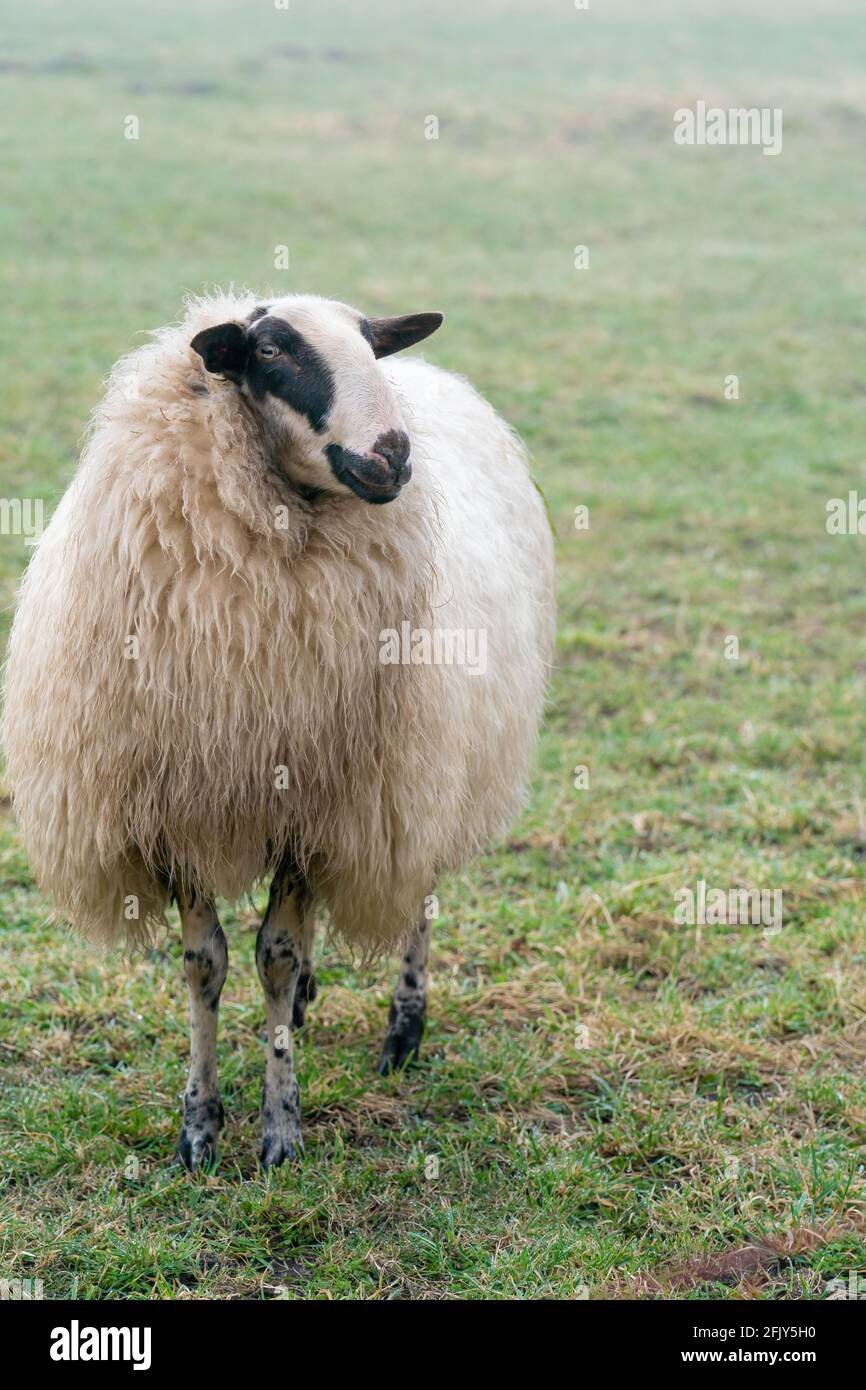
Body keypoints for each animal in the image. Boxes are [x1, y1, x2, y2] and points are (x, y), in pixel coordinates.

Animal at [2, 292, 556, 1169]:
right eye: (269, 352)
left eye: (370, 345)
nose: (393, 454)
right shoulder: (174, 806)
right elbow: (206, 964)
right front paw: (199, 1123)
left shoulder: (319, 806)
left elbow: (275, 955)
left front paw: (279, 1128)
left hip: (425, 765)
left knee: (416, 892)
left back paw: (404, 1027)